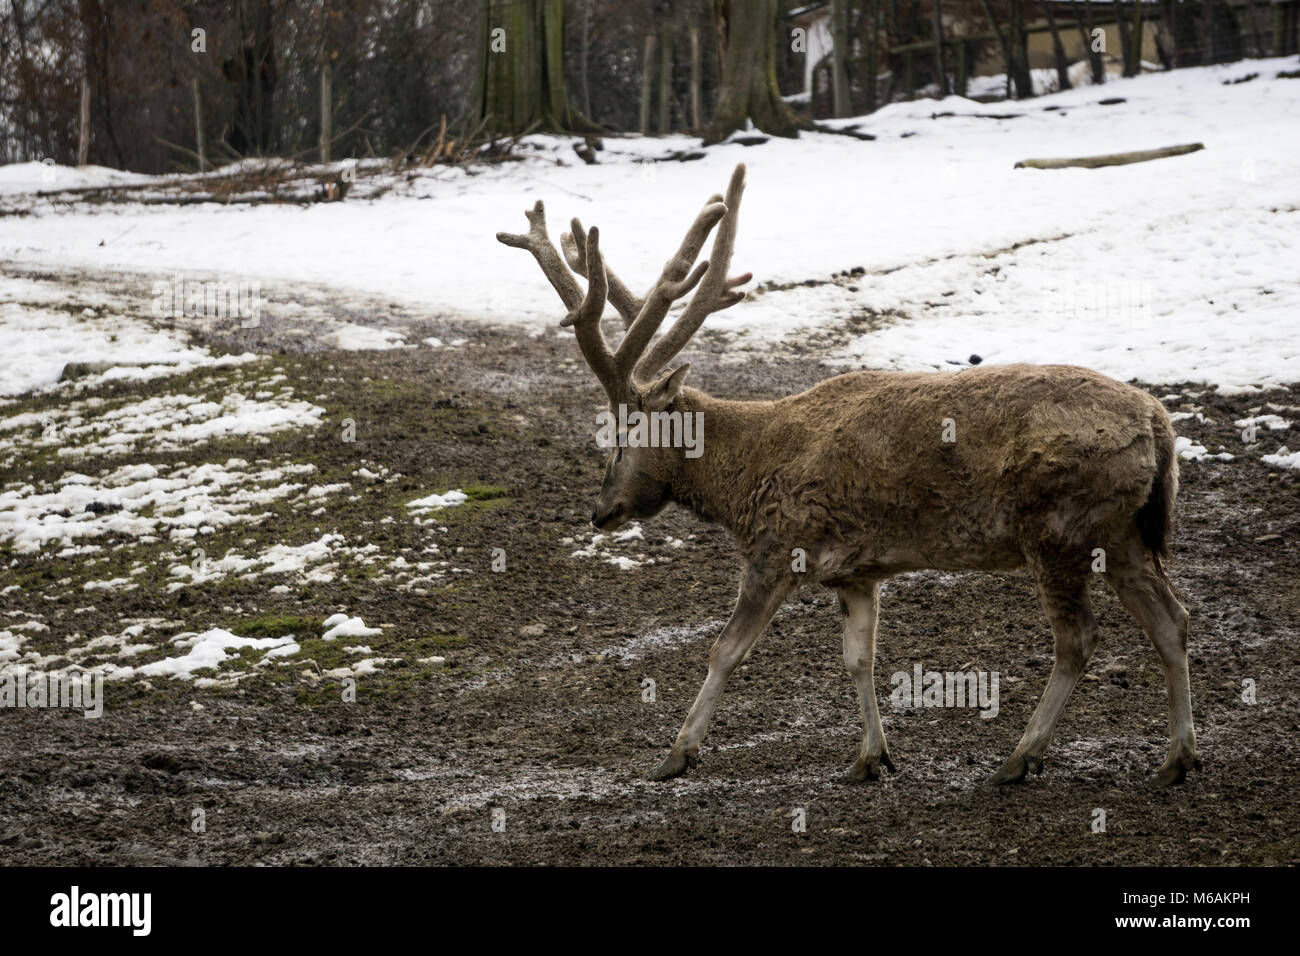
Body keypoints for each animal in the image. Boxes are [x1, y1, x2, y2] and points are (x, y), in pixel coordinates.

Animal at [497, 163, 1200, 788]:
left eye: (621, 436)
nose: (600, 511)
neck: (744, 481)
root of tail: (1159, 424)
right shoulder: (858, 570)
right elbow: (859, 658)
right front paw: (871, 757)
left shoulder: (778, 546)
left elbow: (726, 648)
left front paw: (677, 754)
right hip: (1123, 533)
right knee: (1173, 619)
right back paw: (1176, 759)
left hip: (1057, 529)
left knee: (1079, 638)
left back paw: (1020, 759)